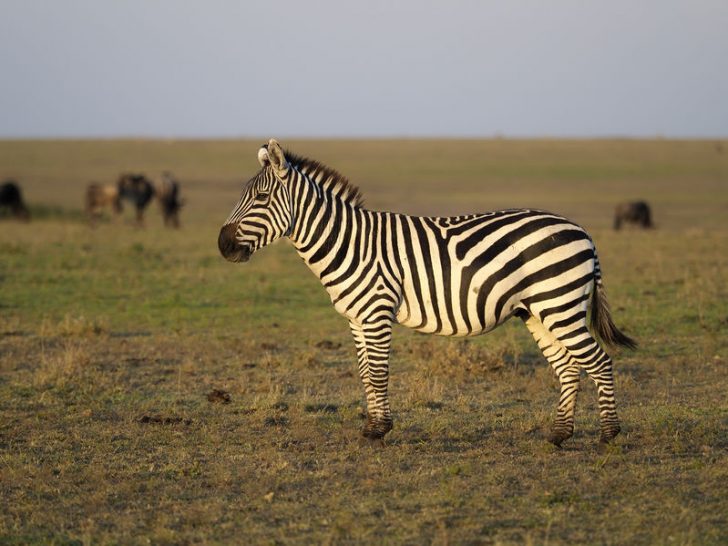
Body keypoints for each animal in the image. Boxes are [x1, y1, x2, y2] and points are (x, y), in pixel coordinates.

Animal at [218, 140, 637, 446]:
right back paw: (559, 434)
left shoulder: (376, 311)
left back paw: (609, 435)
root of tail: (583, 231)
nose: (222, 245)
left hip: (559, 304)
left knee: (598, 361)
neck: (348, 242)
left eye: (260, 199)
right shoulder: (356, 318)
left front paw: (378, 430)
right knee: (568, 367)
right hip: (539, 310)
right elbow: (365, 373)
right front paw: (372, 426)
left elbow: (378, 372)